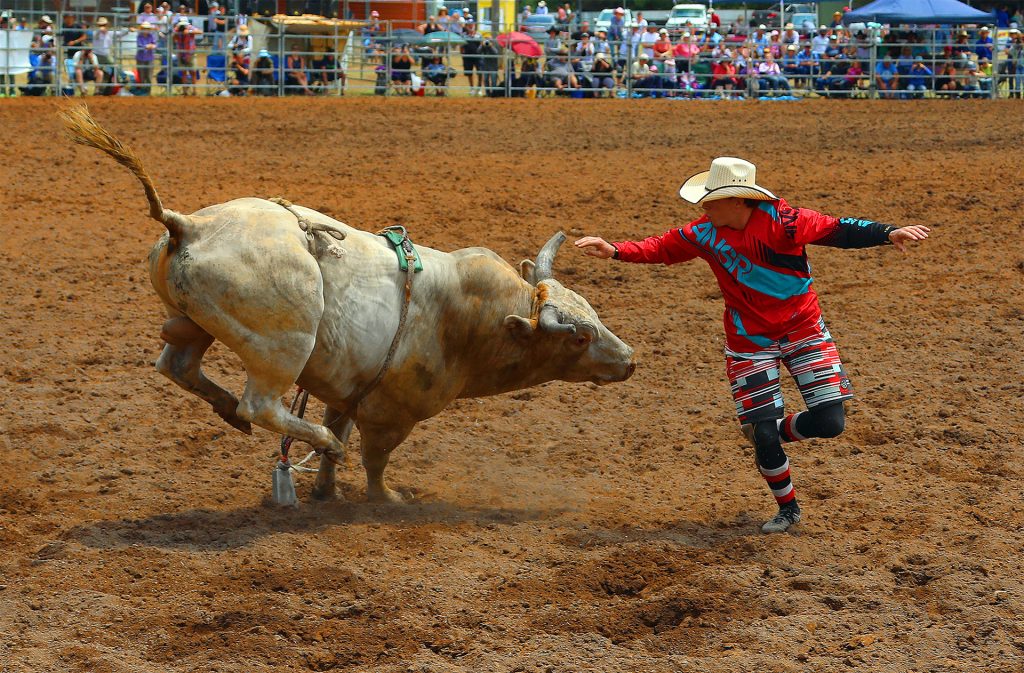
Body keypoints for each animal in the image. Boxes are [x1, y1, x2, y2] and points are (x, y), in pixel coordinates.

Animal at [61, 106, 636, 503]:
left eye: (593, 313)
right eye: (578, 337)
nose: (629, 360)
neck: (472, 322)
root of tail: (188, 224)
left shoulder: (350, 388)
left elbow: (339, 420)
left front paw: (324, 490)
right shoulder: (390, 414)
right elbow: (373, 457)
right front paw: (387, 498)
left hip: (191, 320)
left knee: (177, 363)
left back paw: (229, 408)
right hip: (283, 346)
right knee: (262, 405)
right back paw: (287, 429)